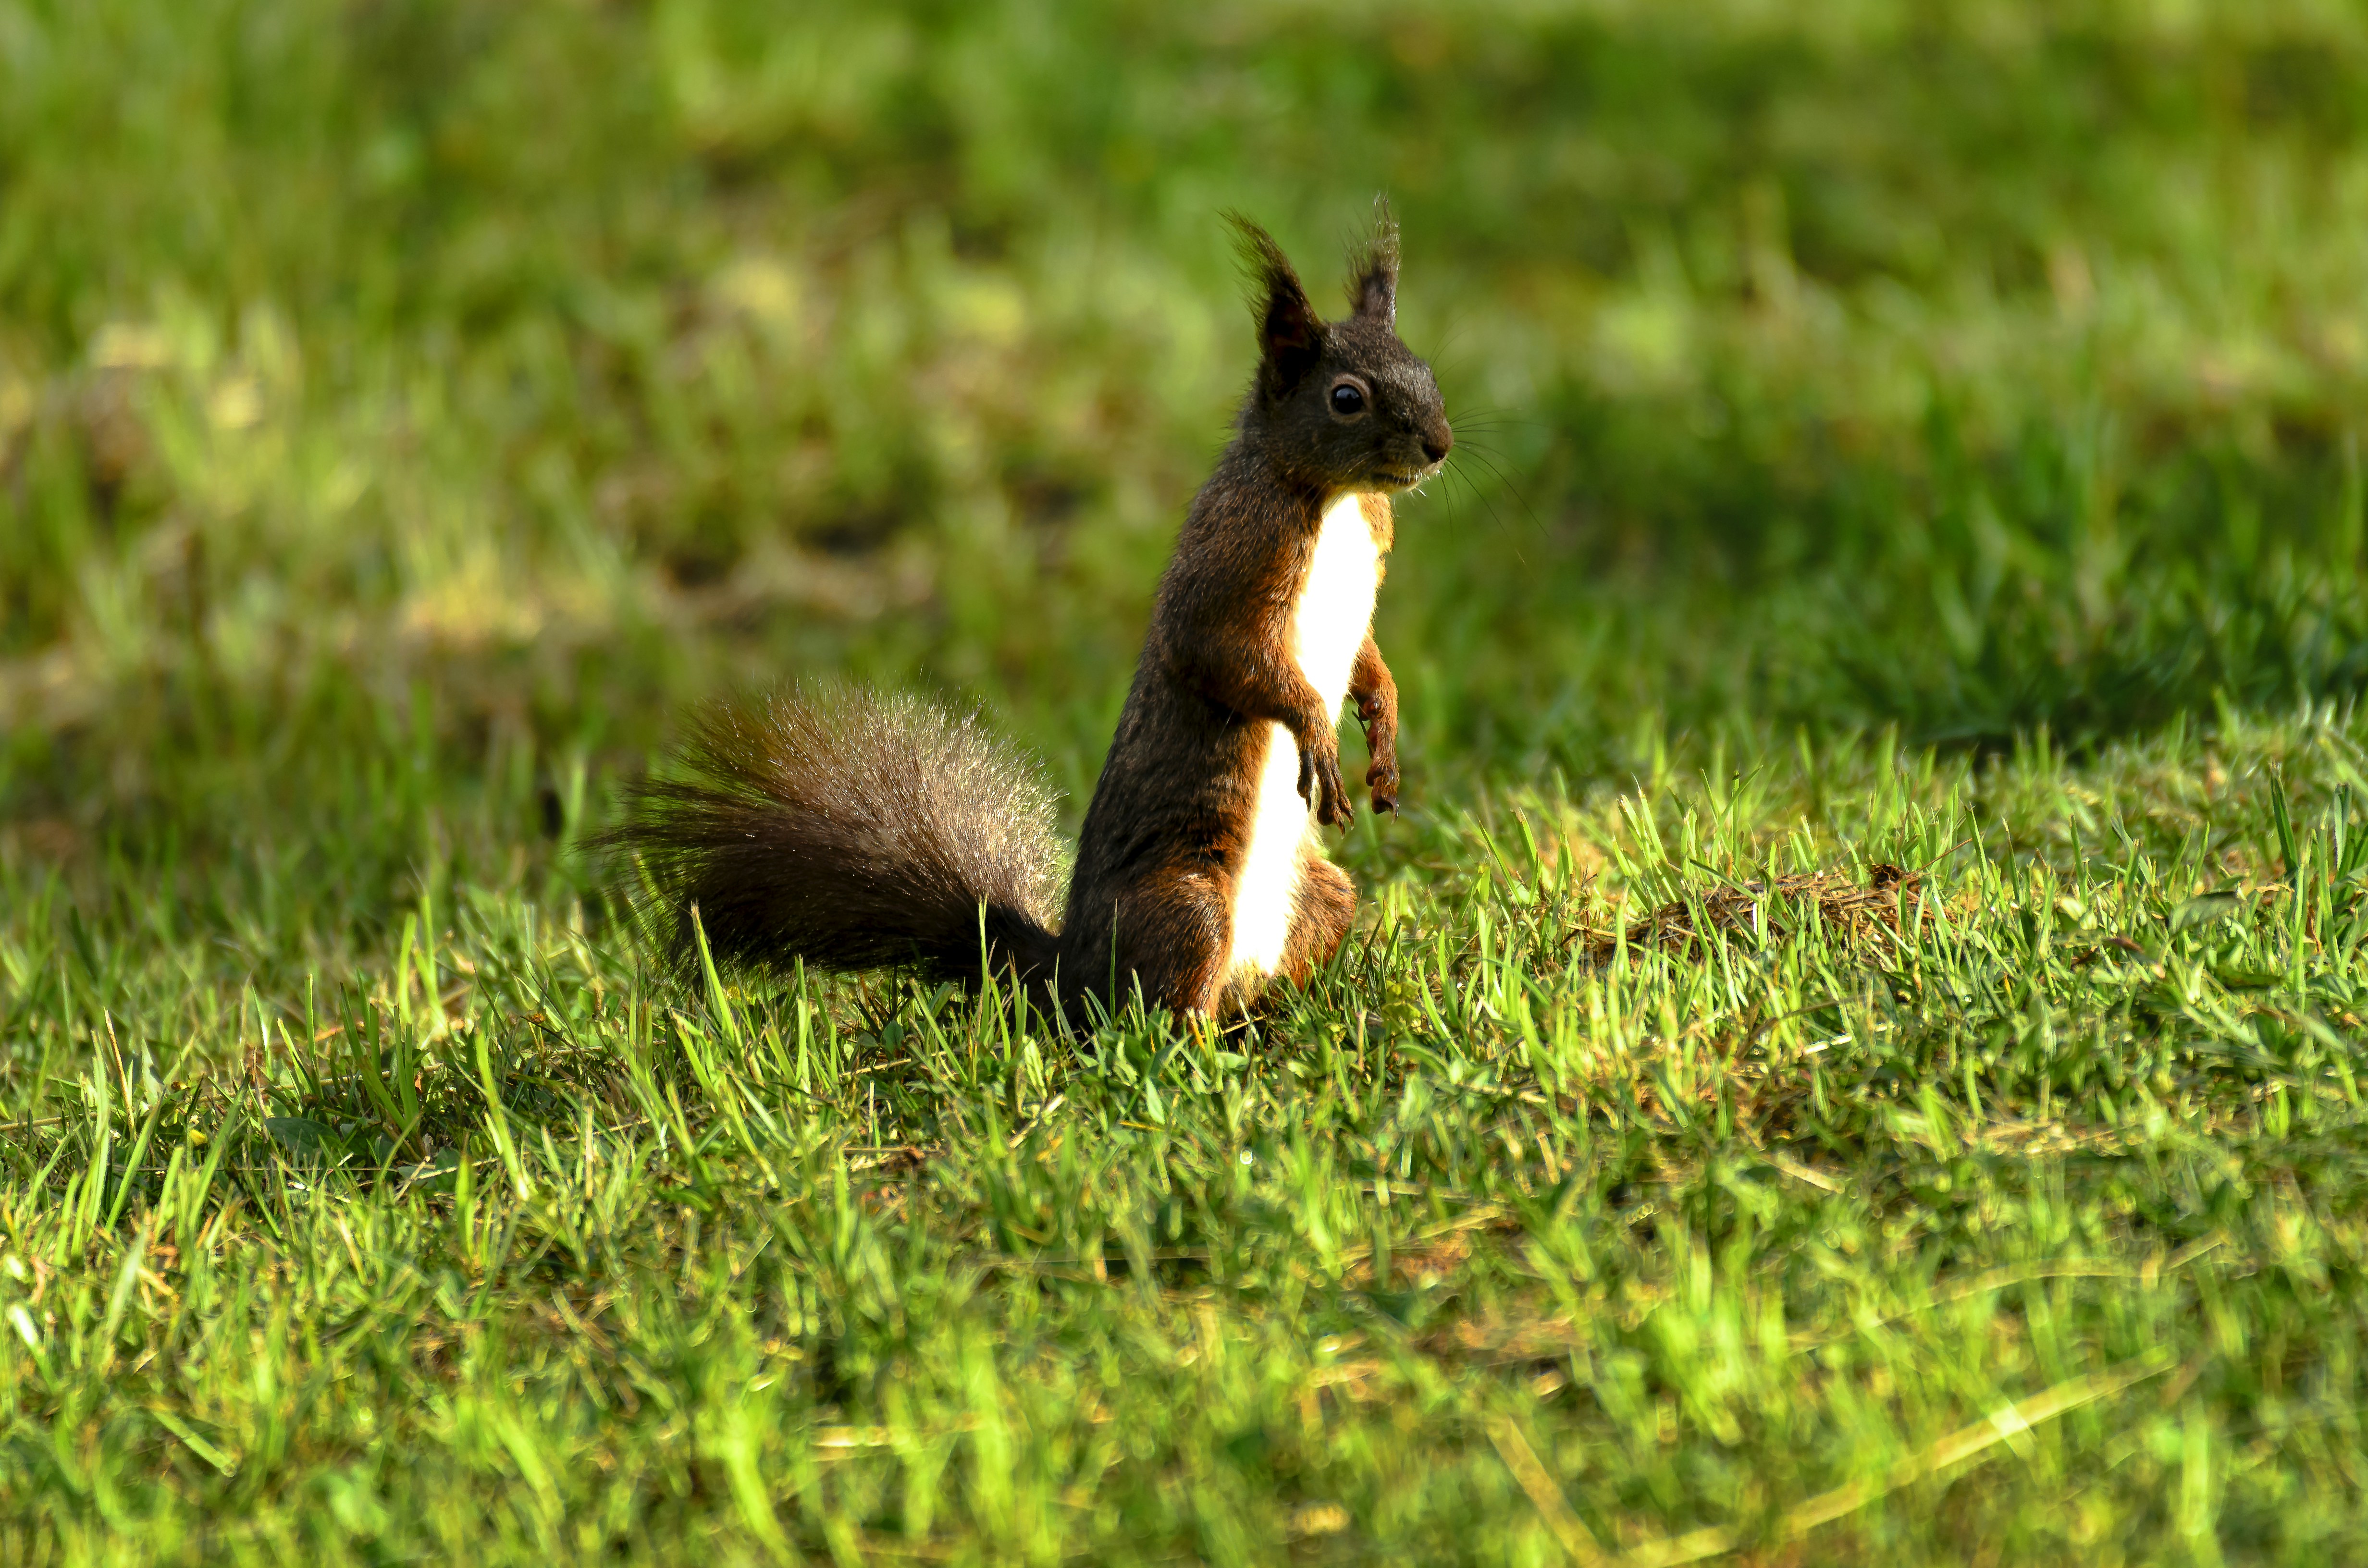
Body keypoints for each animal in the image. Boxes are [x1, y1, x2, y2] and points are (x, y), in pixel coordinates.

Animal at [606, 213, 1452, 1018]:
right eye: (1347, 399)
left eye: (1427, 371)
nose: (1440, 445)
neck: (1333, 498)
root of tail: (1065, 972)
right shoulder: (1234, 560)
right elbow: (1219, 652)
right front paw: (1318, 731)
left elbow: (1366, 657)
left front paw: (1383, 728)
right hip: (1187, 904)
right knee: (1161, 1008)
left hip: (1320, 898)